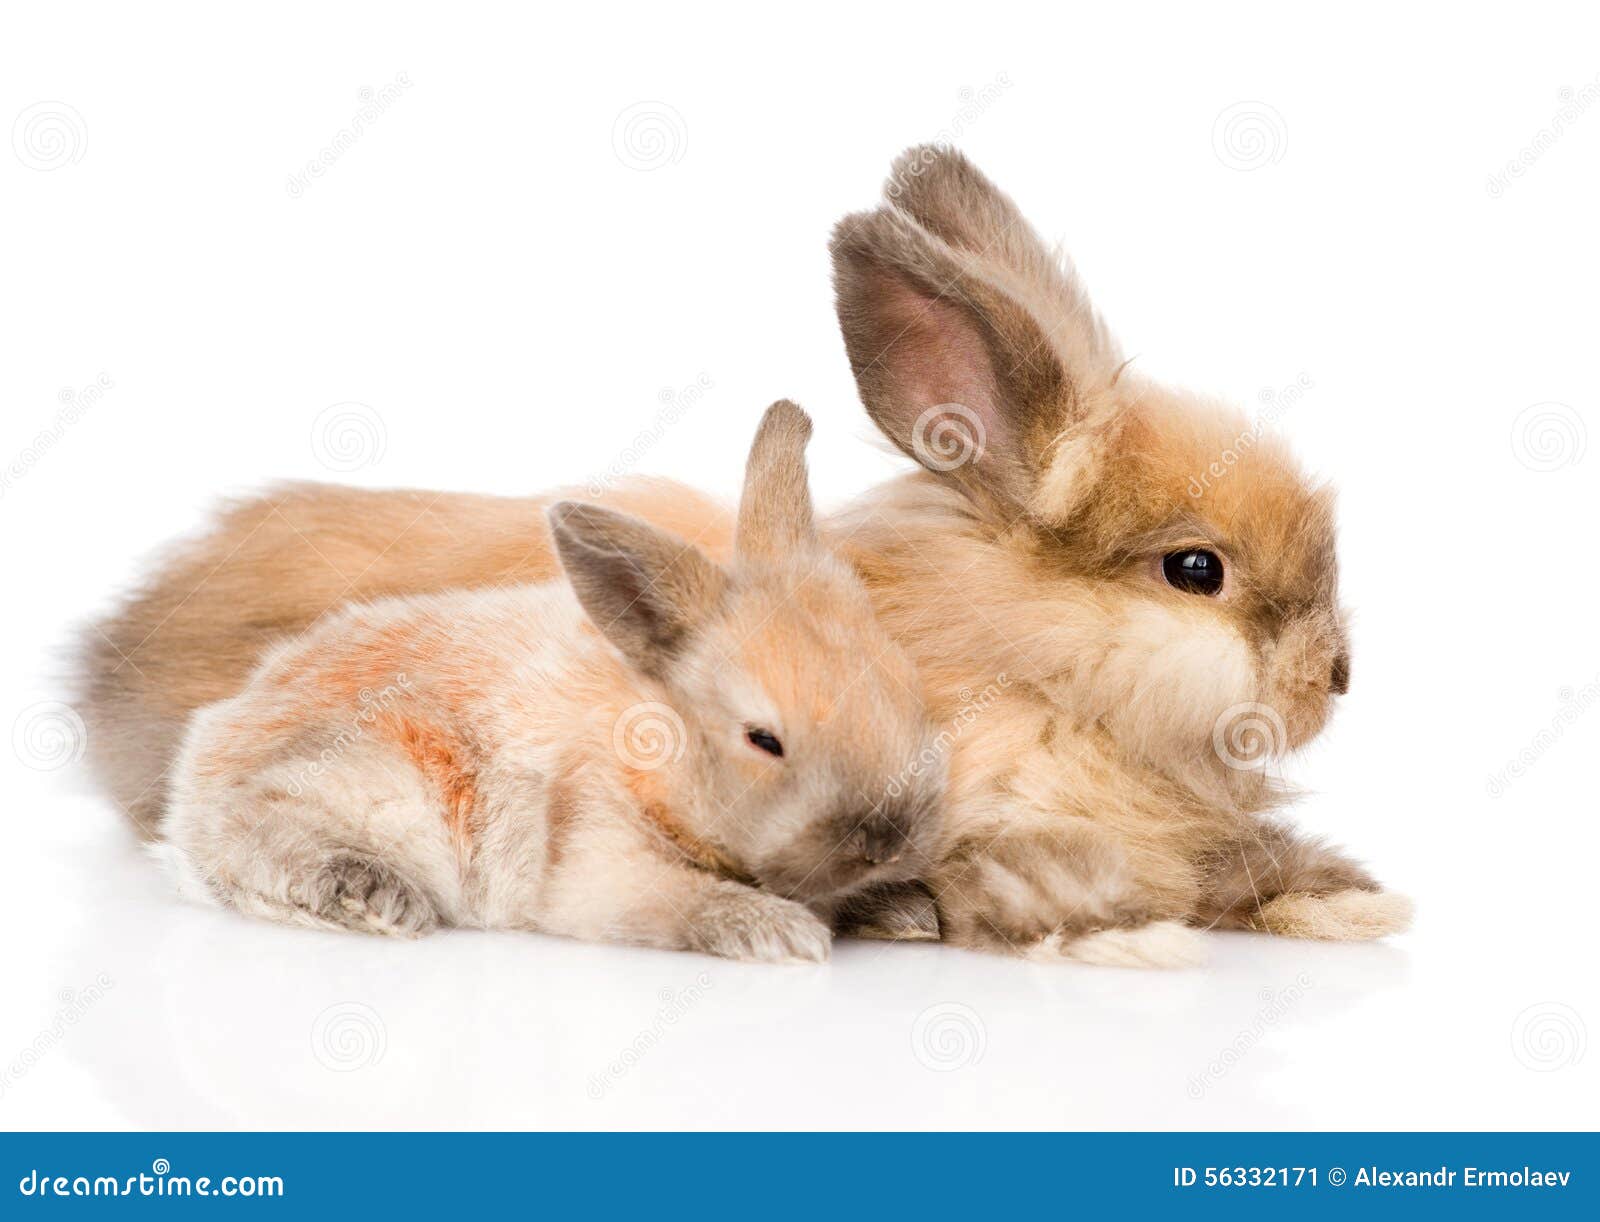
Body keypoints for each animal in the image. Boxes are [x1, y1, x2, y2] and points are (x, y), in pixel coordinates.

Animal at [157, 400, 945, 962]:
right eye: (763, 740)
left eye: (904, 690)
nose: (887, 839)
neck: (650, 756)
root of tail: (201, 760)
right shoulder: (597, 864)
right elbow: (681, 902)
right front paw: (783, 934)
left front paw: (908, 914)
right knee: (250, 841)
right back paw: (377, 897)